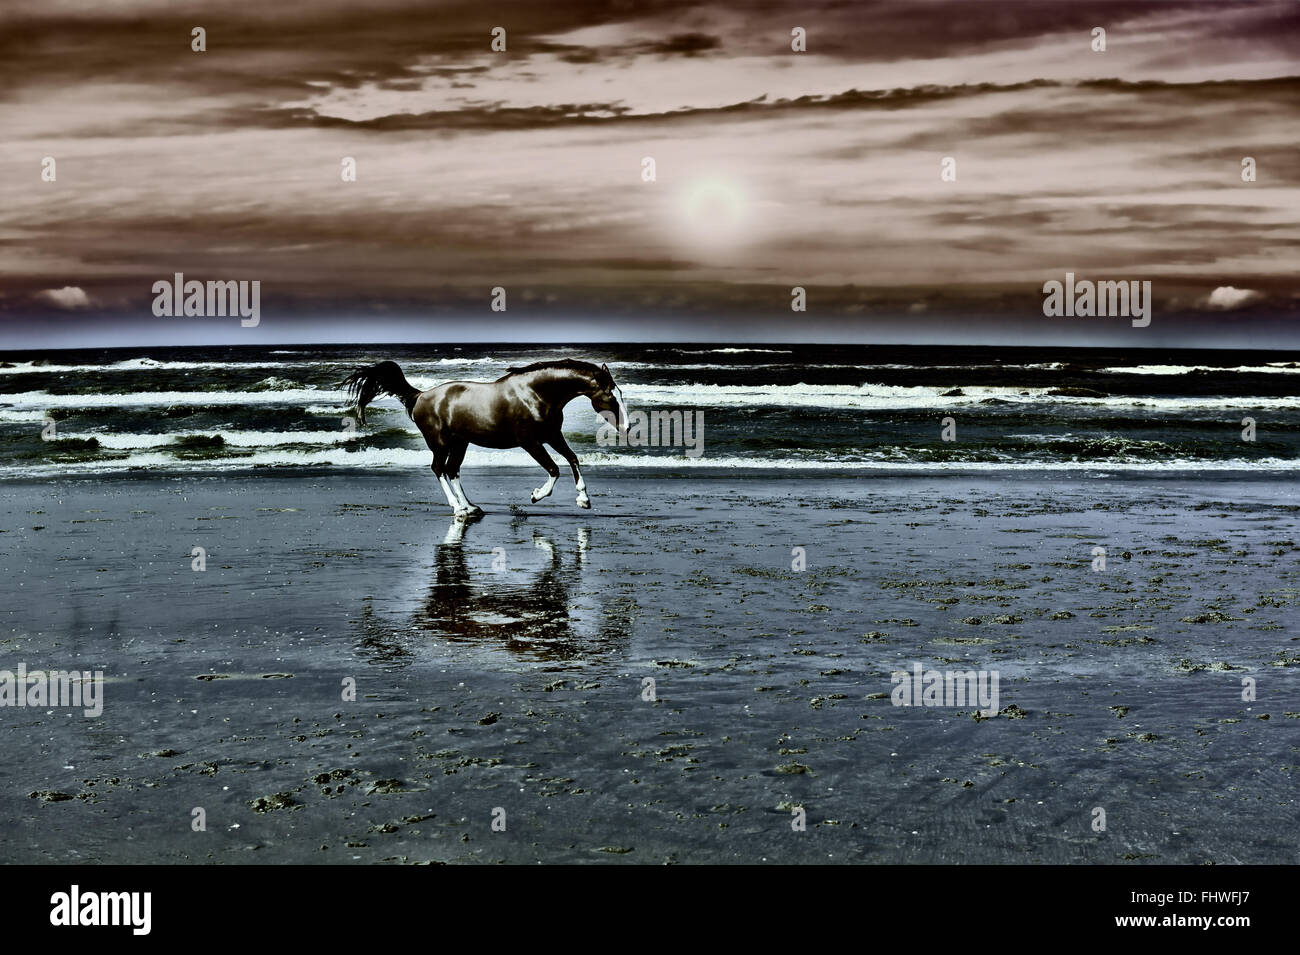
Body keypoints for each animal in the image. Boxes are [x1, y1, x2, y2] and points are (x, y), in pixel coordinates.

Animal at [342, 358, 627, 518]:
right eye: (611, 395)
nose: (624, 426)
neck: (536, 394)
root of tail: (420, 396)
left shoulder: (552, 436)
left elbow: (573, 459)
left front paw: (584, 500)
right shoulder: (530, 442)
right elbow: (554, 469)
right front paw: (536, 495)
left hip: (460, 443)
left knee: (452, 469)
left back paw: (470, 507)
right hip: (440, 443)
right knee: (438, 468)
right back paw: (457, 509)